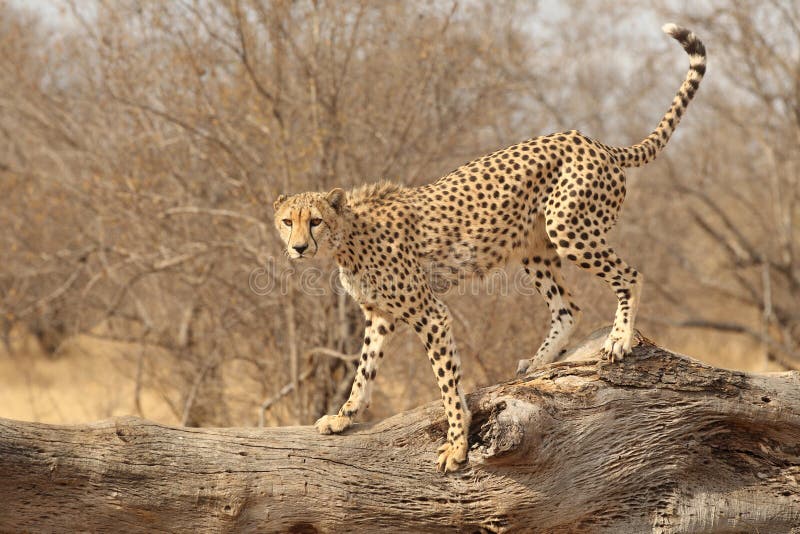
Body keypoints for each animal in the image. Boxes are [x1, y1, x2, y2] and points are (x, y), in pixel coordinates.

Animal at [273, 24, 706, 473]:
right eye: (288, 221)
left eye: (315, 220)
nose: (299, 248)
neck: (347, 240)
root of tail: (593, 141)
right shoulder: (379, 317)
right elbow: (364, 370)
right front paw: (345, 416)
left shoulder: (431, 314)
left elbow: (446, 384)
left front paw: (457, 444)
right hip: (535, 248)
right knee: (568, 307)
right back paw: (538, 363)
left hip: (568, 228)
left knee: (630, 275)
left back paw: (619, 338)